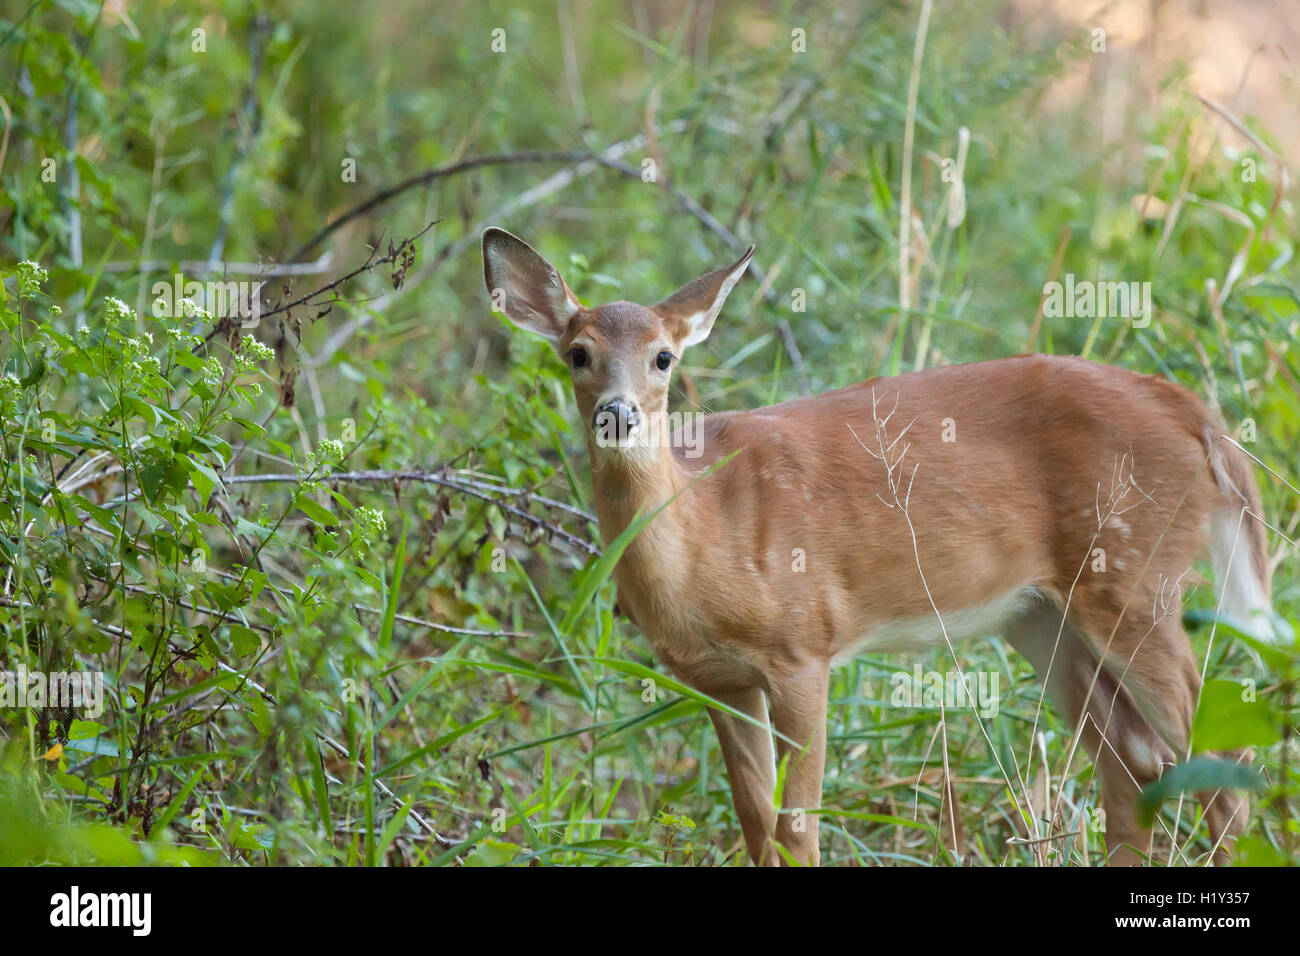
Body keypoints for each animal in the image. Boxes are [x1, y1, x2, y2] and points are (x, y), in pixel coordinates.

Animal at [481, 227, 1275, 867]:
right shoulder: (718, 678)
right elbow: (756, 823)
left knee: (1221, 759)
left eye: (664, 358)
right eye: (576, 354)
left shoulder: (802, 646)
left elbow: (798, 826)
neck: (707, 535)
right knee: (1137, 758)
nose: (617, 414)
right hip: (1041, 614)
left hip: (1136, 574)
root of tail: (1196, 416)